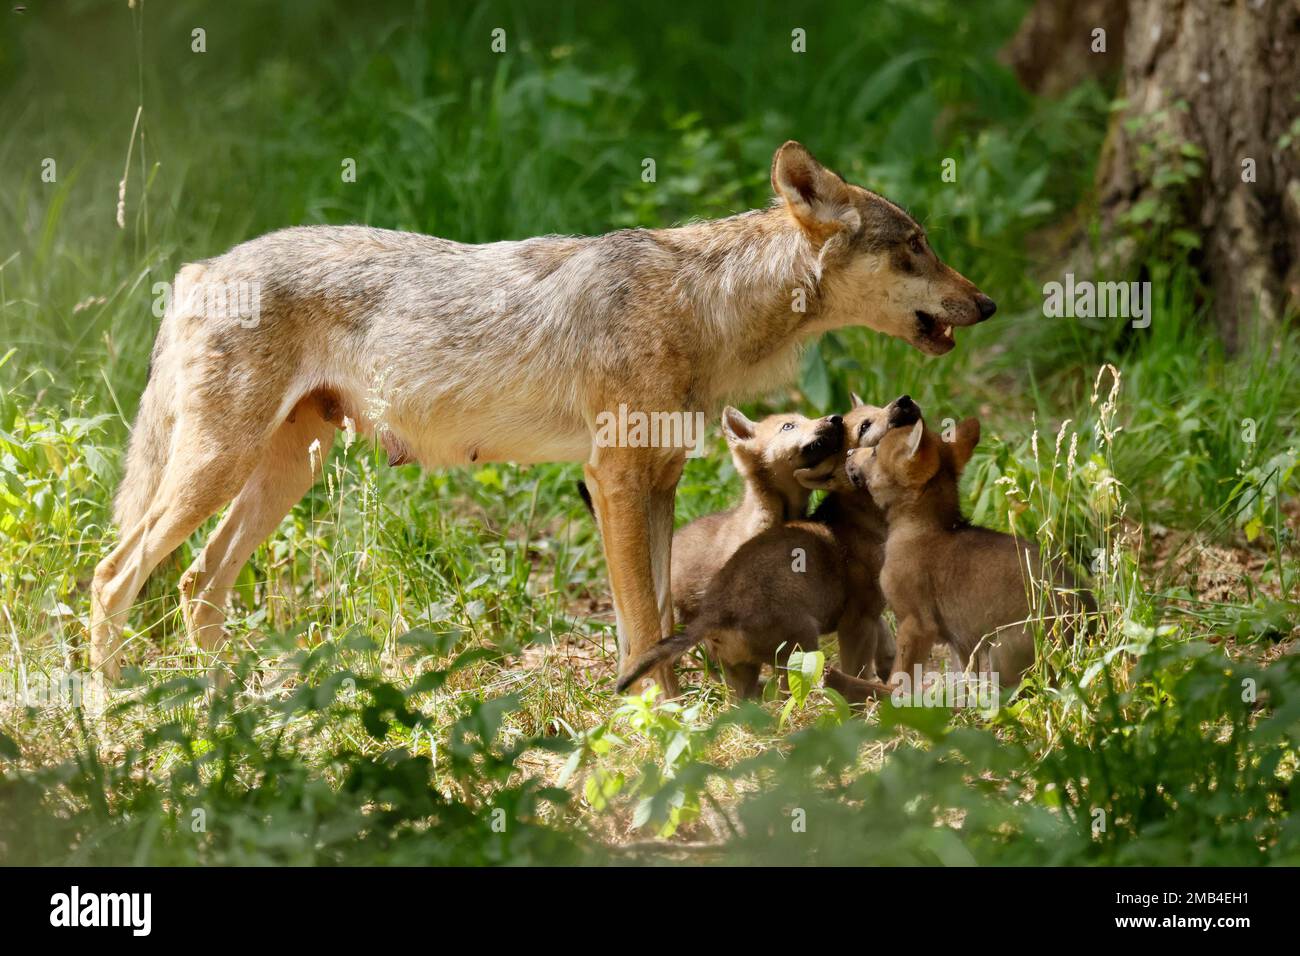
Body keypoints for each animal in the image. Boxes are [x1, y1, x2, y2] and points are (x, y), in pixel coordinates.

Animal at [90, 140, 994, 688]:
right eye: (914, 245)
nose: (986, 304)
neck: (705, 310)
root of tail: (199, 268)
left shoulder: (657, 487)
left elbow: (655, 618)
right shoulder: (614, 482)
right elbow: (643, 624)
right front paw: (661, 716)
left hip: (280, 472)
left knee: (199, 583)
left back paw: (228, 706)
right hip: (219, 470)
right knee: (113, 576)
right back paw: (112, 714)